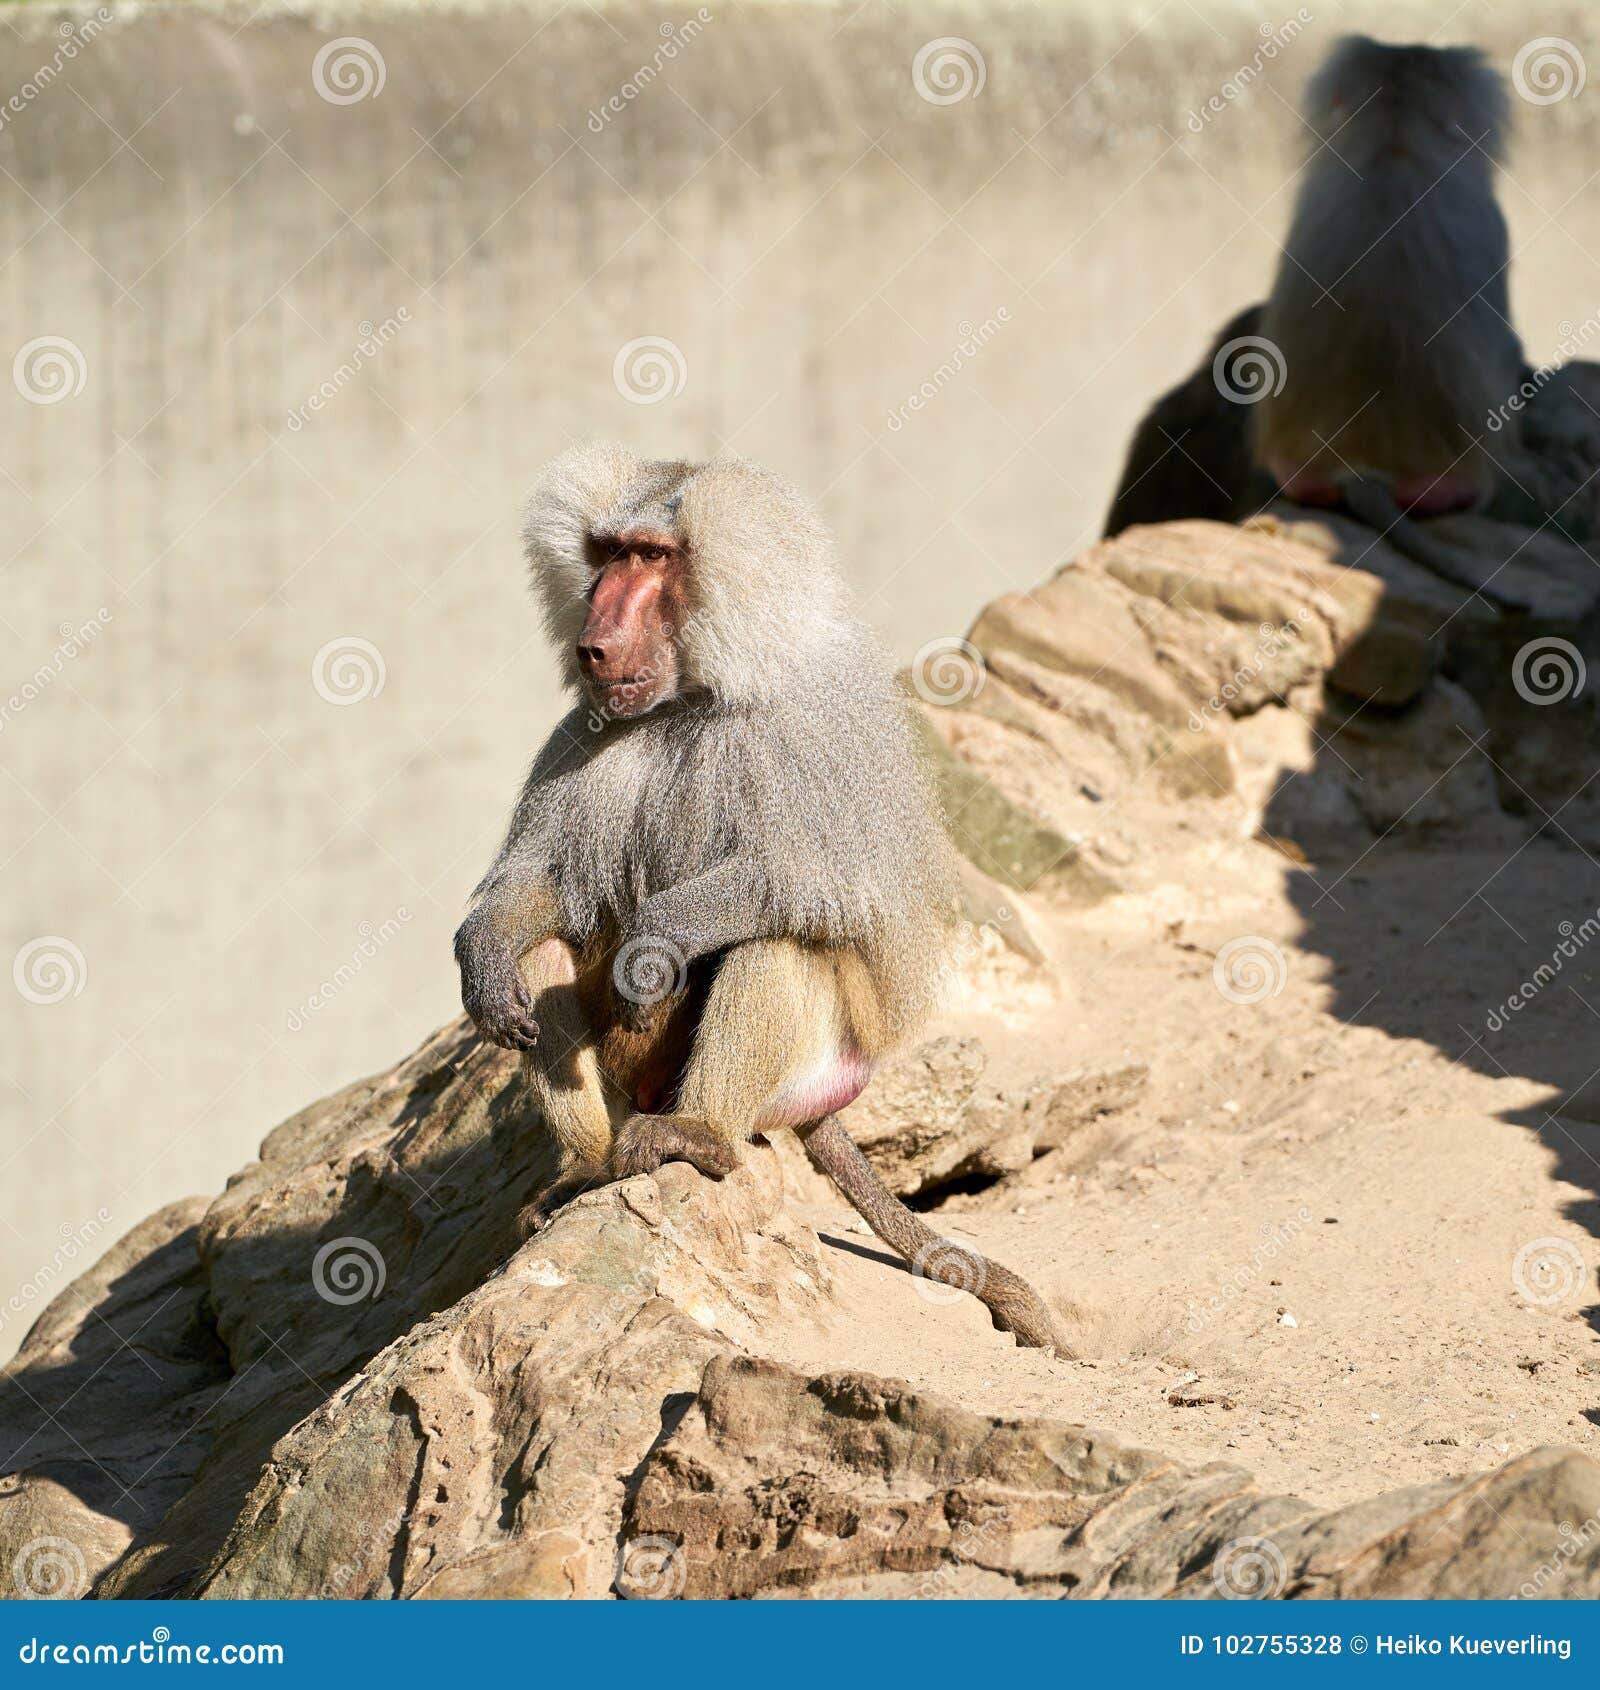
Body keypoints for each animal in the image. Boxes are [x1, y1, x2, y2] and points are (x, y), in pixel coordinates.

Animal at [455, 442, 1064, 1354]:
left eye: (654, 556)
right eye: (606, 553)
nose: (594, 645)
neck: (690, 701)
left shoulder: (816, 732)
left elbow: (816, 884)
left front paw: (653, 946)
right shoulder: (574, 740)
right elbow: (545, 886)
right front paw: (482, 954)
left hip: (811, 1071)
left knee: (775, 944)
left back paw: (700, 1137)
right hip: (633, 1081)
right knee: (548, 959)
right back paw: (590, 1167)